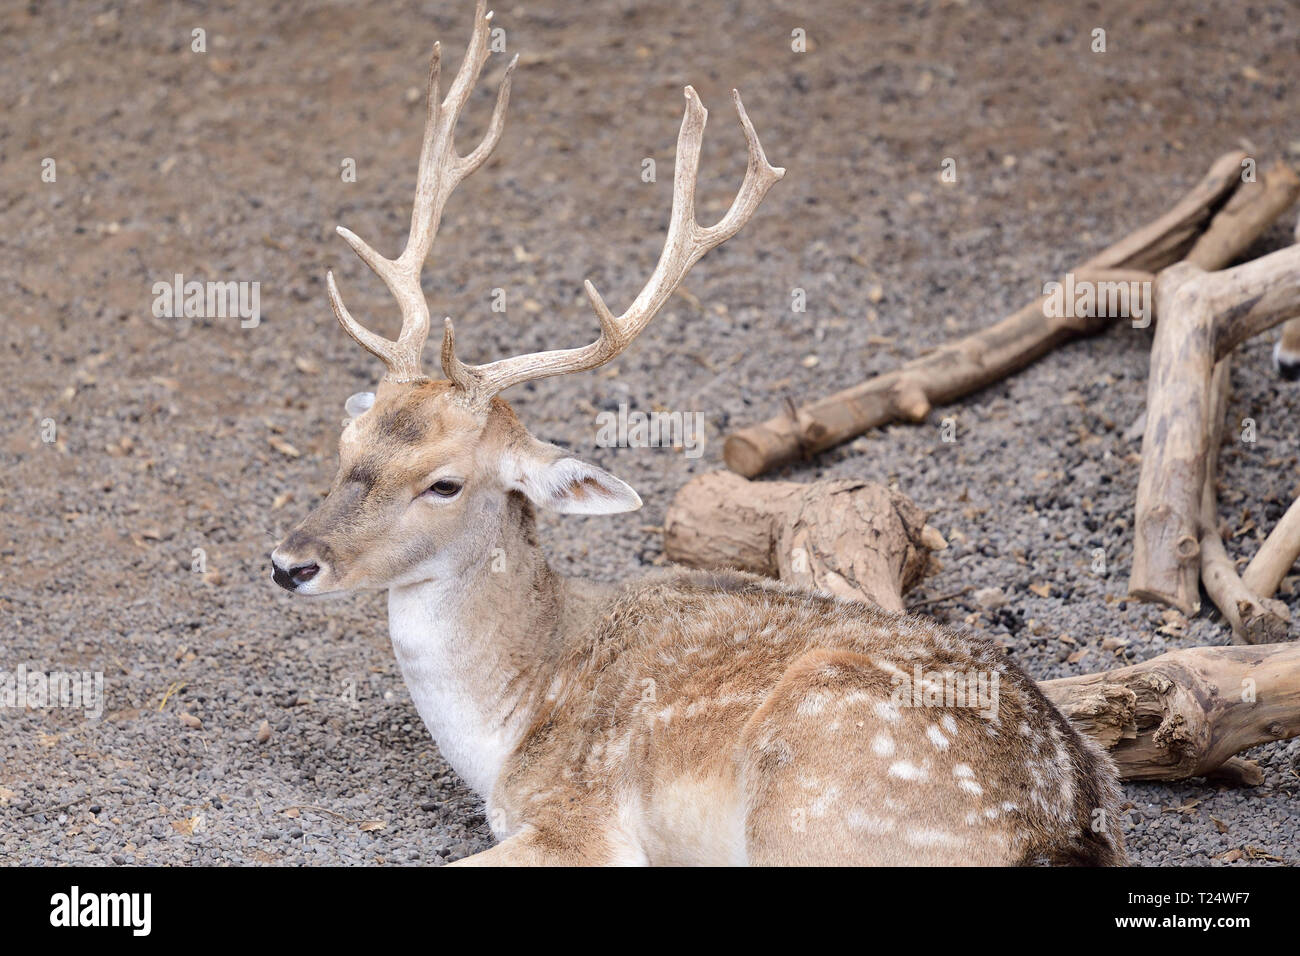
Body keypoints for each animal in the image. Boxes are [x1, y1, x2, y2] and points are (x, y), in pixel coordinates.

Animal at [270, 2, 1126, 866]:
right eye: (346, 445)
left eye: (444, 482)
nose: (289, 562)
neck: (508, 729)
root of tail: (1062, 829)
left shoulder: (582, 818)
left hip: (812, 798)